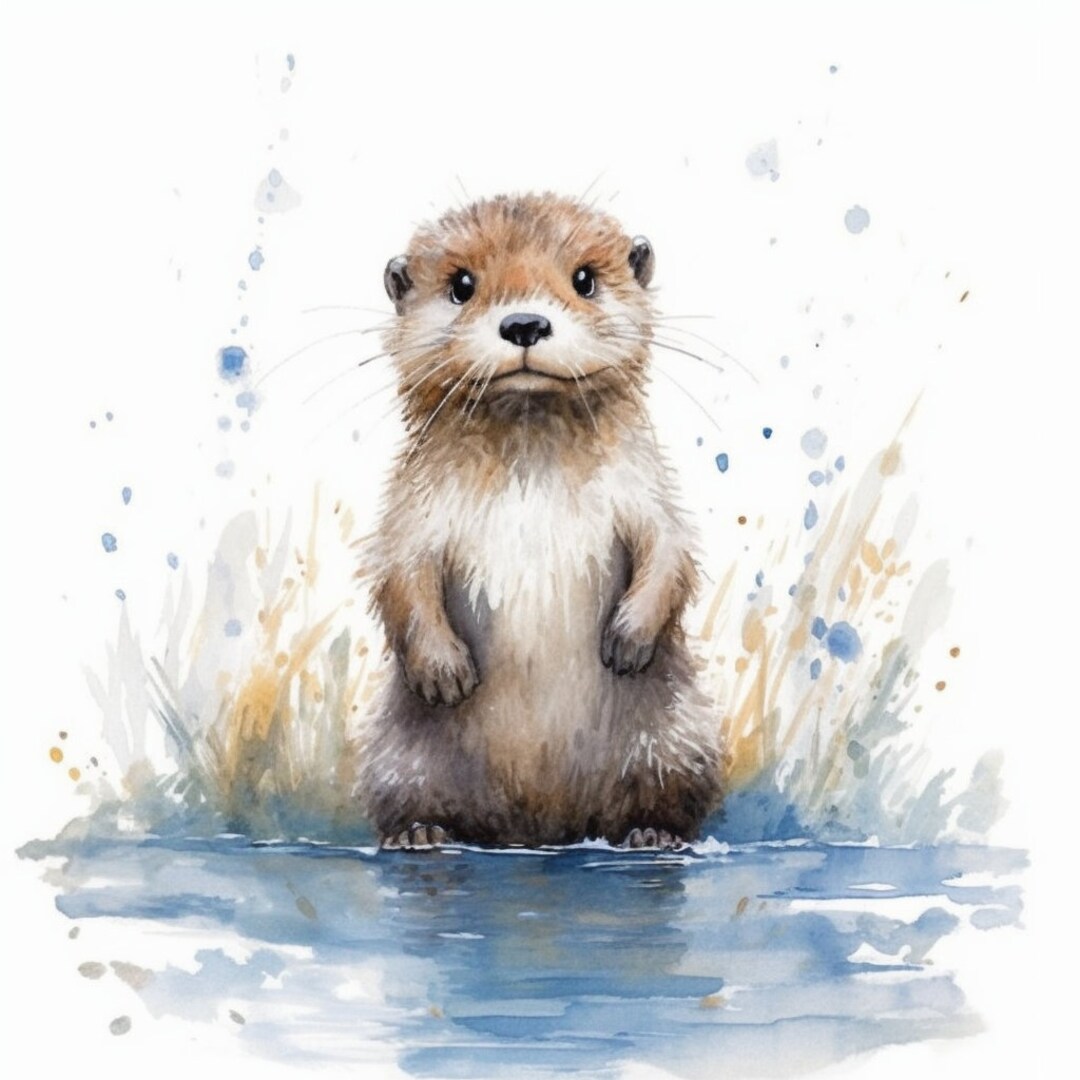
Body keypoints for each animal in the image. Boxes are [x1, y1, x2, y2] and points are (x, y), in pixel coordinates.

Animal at [356, 193, 722, 849]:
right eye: (462, 285)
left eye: (584, 279)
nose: (524, 324)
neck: (532, 467)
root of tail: (540, 825)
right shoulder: (410, 512)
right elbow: (399, 578)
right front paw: (444, 671)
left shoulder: (647, 491)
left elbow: (671, 553)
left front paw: (629, 639)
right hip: (397, 758)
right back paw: (421, 832)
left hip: (680, 741)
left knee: (667, 796)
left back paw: (651, 833)